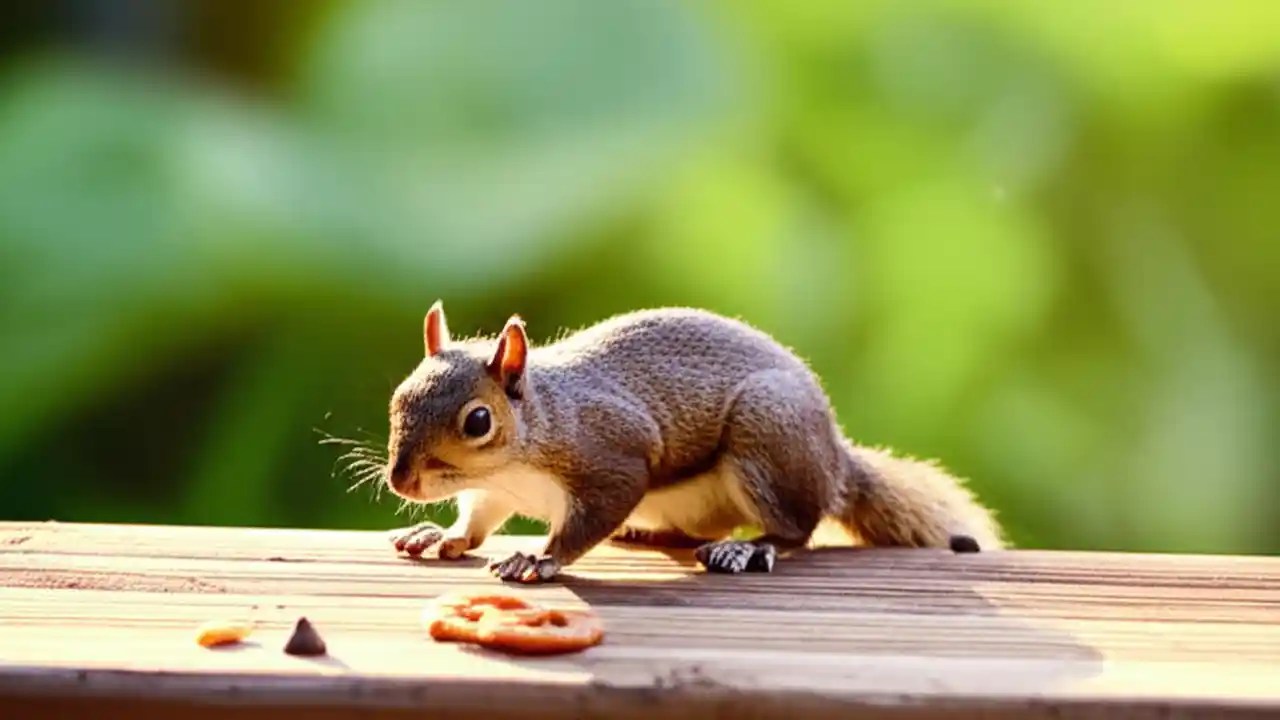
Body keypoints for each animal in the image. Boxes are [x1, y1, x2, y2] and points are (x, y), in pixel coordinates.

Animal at [382, 301, 1003, 583]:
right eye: (398, 396)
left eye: (478, 421)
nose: (400, 480)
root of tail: (833, 459)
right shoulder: (494, 491)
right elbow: (477, 518)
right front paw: (442, 534)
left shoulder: (611, 455)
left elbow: (584, 521)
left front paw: (538, 557)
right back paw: (645, 532)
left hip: (766, 438)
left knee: (798, 529)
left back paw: (749, 549)